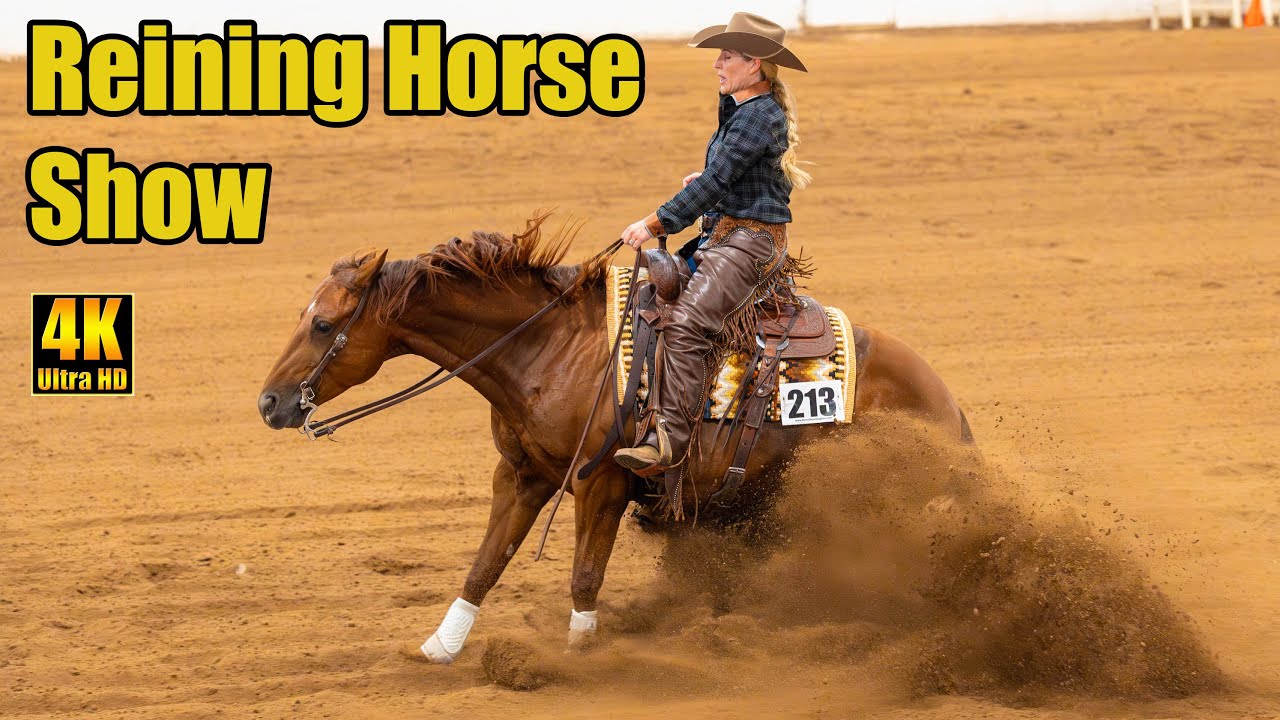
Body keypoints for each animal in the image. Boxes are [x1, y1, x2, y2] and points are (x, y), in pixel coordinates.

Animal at [257, 213, 973, 663]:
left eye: (323, 325)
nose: (269, 403)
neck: (548, 348)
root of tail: (944, 401)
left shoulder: (599, 481)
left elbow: (583, 577)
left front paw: (581, 658)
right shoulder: (522, 475)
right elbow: (485, 564)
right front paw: (439, 647)